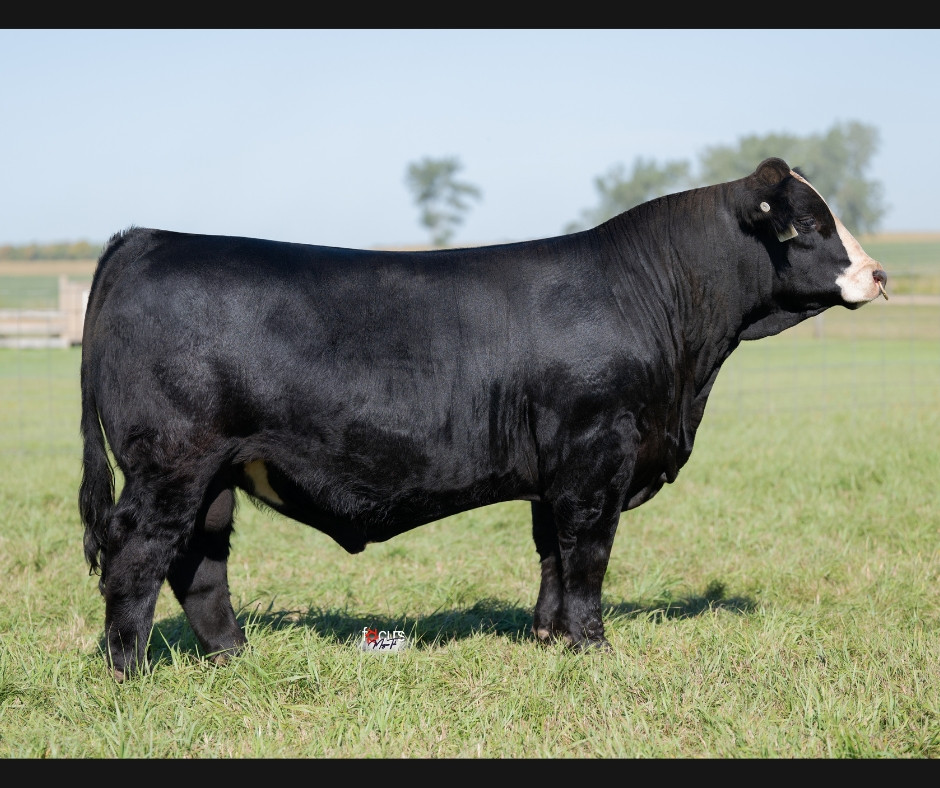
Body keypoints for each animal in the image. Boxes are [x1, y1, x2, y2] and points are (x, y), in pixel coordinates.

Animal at [79, 157, 888, 681]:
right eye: (807, 224)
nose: (878, 274)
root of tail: (146, 237)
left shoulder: (557, 474)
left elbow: (553, 556)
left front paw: (548, 639)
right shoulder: (596, 456)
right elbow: (588, 556)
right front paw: (596, 650)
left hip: (212, 475)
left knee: (199, 564)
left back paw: (233, 658)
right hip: (170, 465)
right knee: (138, 555)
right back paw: (131, 673)